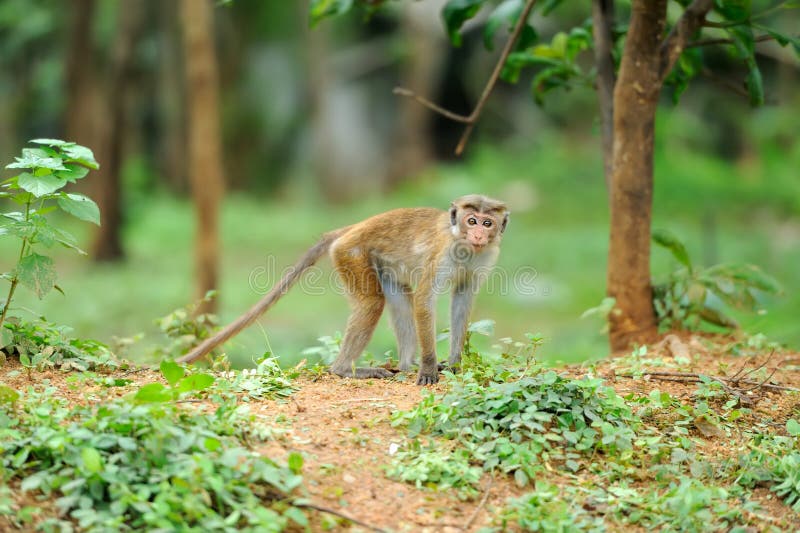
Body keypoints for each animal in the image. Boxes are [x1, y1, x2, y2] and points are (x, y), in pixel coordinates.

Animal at [178, 194, 509, 385]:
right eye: (471, 220)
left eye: (488, 222)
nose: (479, 234)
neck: (465, 245)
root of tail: (351, 228)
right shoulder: (443, 253)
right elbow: (426, 300)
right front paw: (428, 369)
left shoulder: (485, 258)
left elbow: (462, 299)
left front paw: (453, 363)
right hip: (351, 253)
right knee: (373, 301)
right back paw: (345, 370)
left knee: (399, 298)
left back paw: (404, 365)